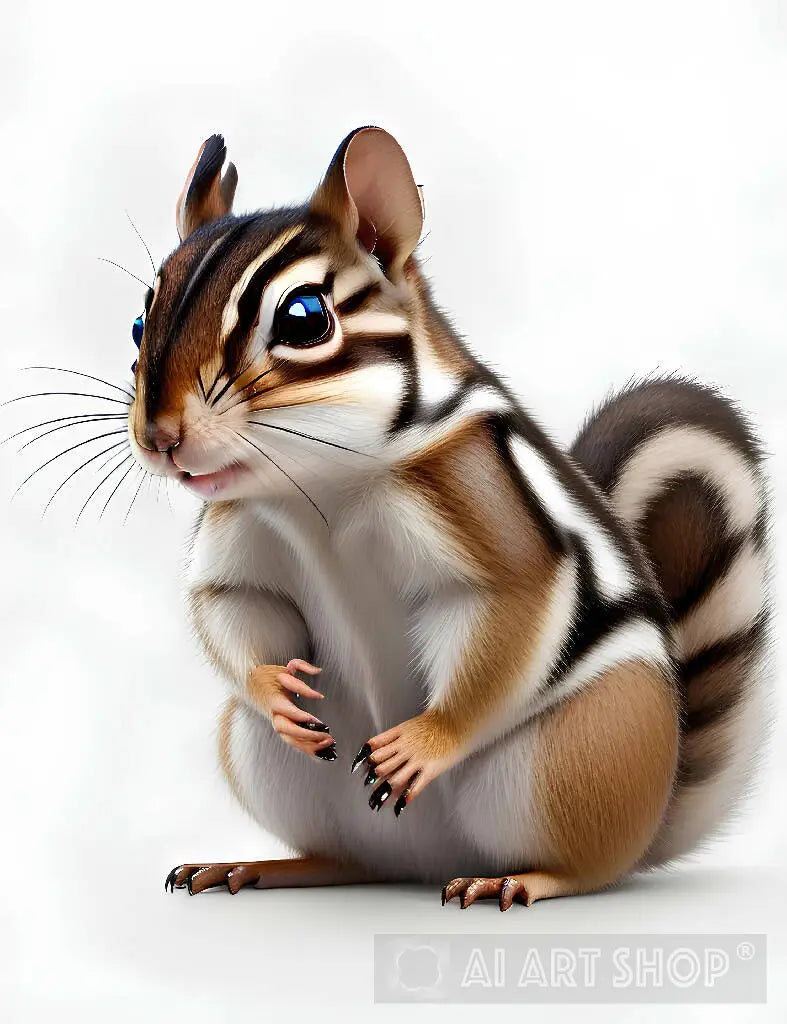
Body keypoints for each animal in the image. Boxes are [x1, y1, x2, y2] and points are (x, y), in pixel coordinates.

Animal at [121, 128, 771, 909]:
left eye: (305, 319)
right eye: (138, 323)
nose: (159, 437)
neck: (319, 493)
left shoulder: (484, 512)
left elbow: (509, 614)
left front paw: (424, 742)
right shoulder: (240, 530)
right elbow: (230, 604)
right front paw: (276, 689)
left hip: (579, 753)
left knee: (587, 869)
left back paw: (519, 878)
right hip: (255, 754)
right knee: (345, 858)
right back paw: (263, 866)